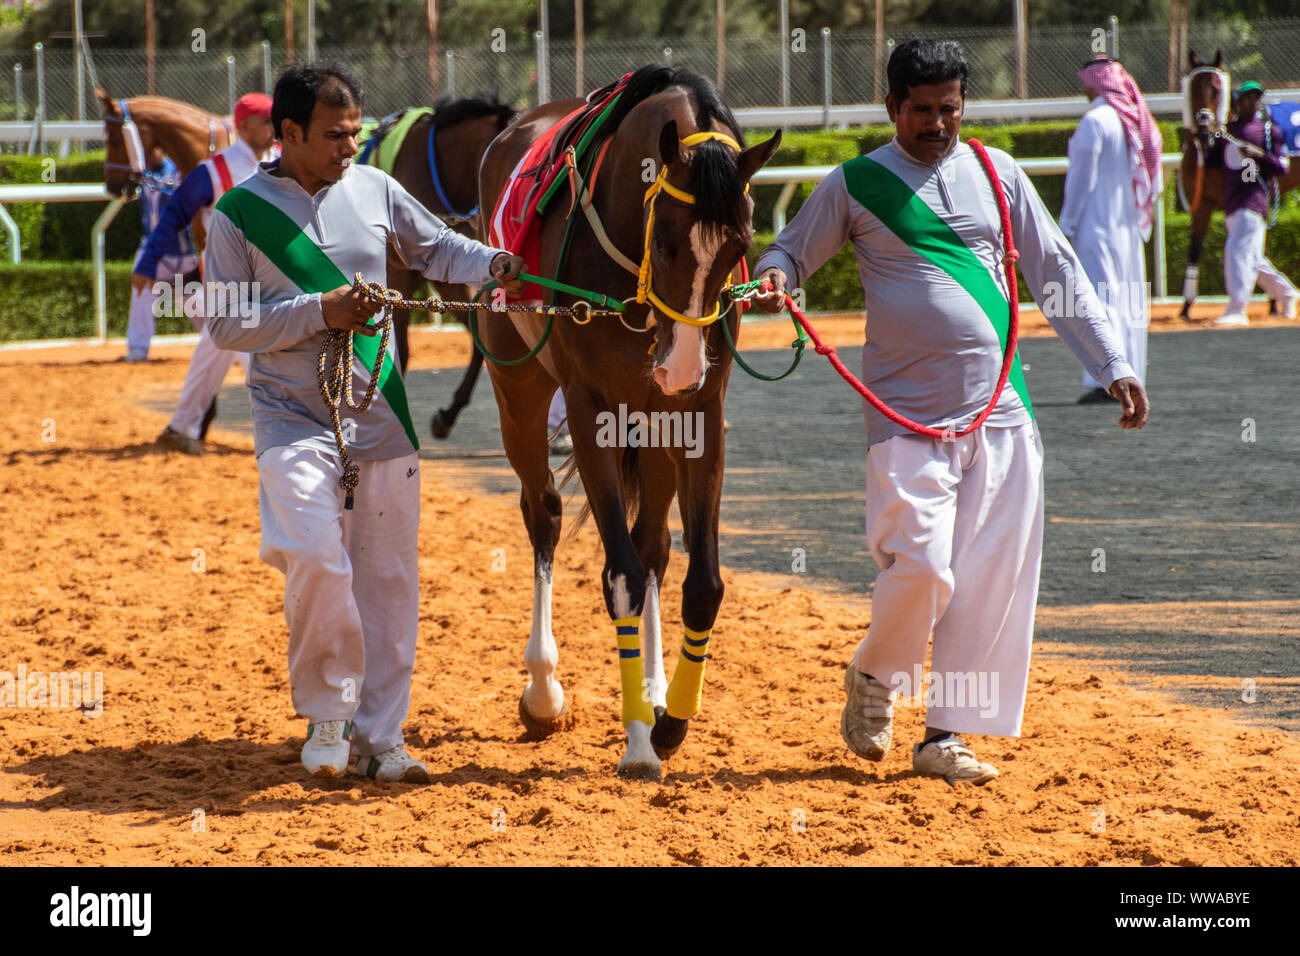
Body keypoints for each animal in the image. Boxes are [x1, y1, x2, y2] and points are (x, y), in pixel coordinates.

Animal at [474, 64, 779, 780]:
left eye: (740, 246)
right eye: (662, 240)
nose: (680, 365)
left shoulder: (700, 412)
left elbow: (698, 582)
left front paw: (668, 720)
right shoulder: (590, 408)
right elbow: (620, 575)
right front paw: (638, 738)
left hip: (656, 420)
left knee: (655, 546)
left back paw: (655, 686)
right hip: (519, 389)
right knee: (545, 514)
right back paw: (544, 690)